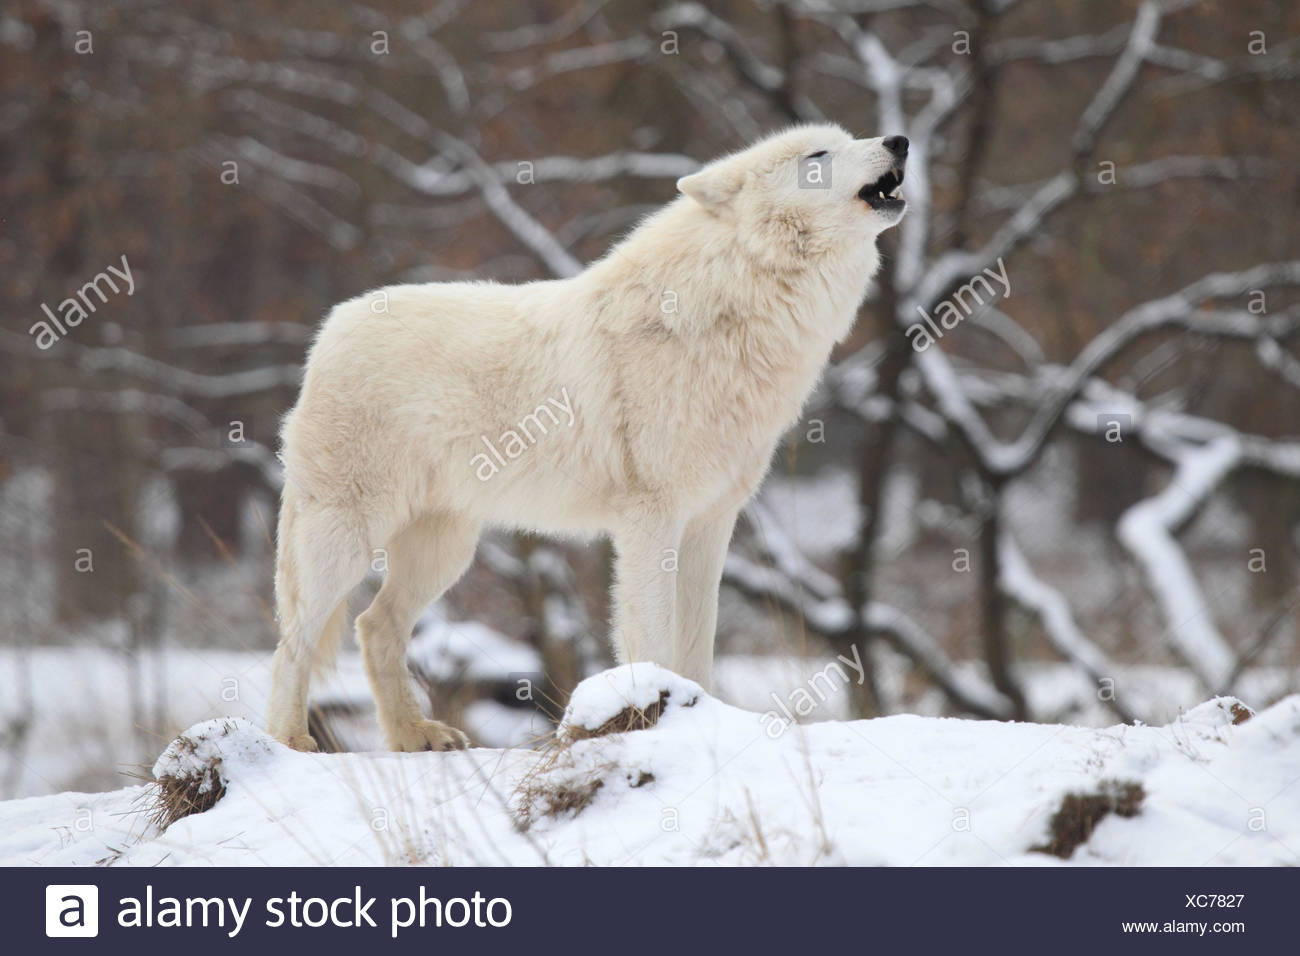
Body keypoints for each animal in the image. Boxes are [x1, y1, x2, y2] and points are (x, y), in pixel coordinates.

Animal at [266, 124, 909, 752]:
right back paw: (291, 738)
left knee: (373, 625)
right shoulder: (651, 519)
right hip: (348, 538)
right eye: (818, 154)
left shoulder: (711, 522)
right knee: (293, 638)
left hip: (444, 550)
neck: (730, 307)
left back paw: (415, 736)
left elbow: (698, 646)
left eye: (851, 136)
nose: (900, 141)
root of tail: (331, 328)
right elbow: (653, 637)